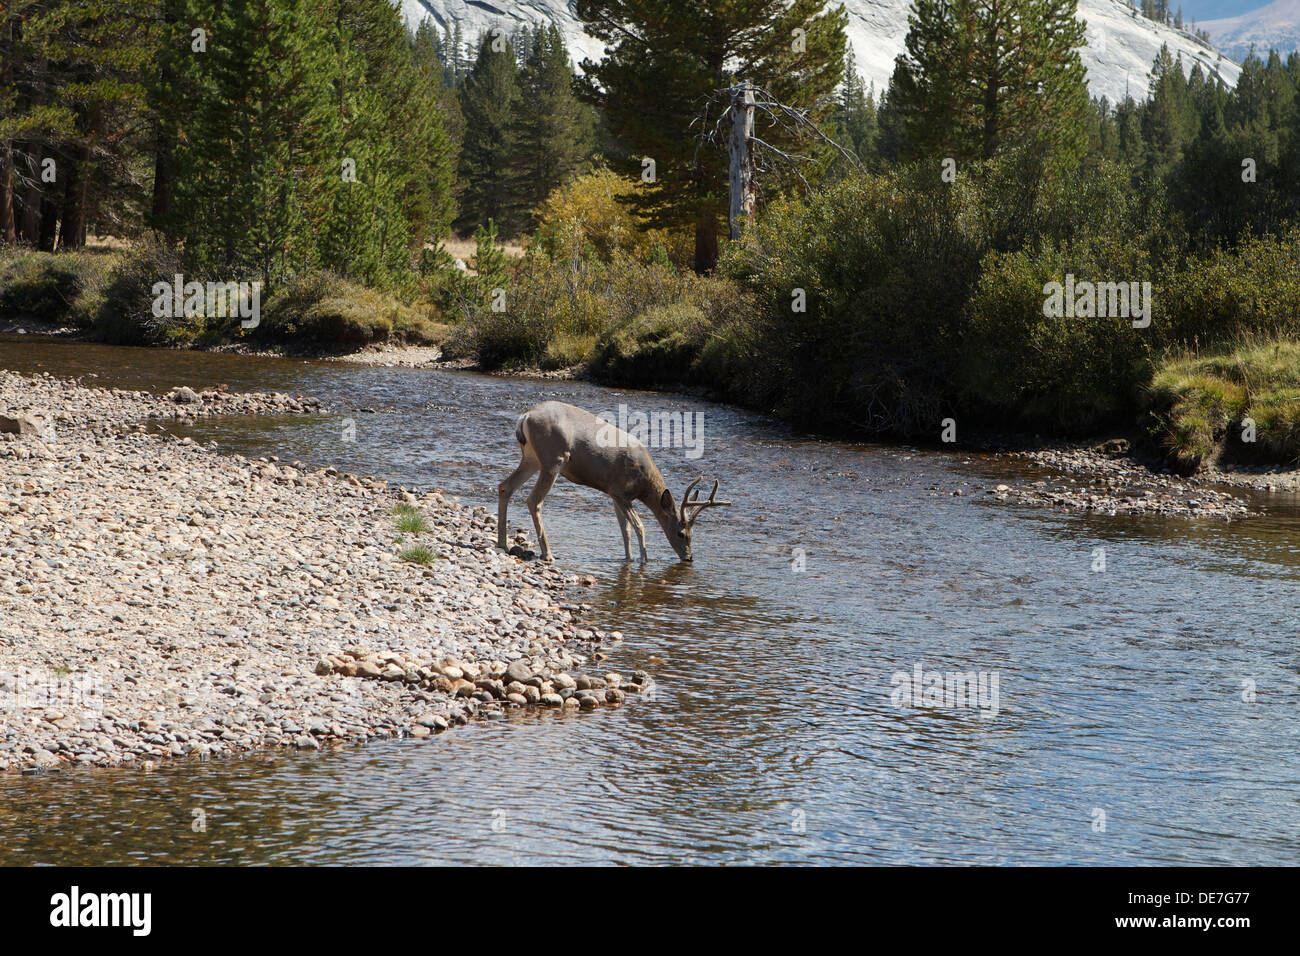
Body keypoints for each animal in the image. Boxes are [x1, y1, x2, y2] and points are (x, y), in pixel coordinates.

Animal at [497, 401, 731, 563]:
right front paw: (644, 559)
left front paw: (628, 558)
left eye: (693, 533)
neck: (644, 483)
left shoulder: (614, 495)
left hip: (532, 458)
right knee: (533, 500)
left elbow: (624, 530)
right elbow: (639, 526)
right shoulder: (619, 490)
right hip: (553, 458)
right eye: (681, 533)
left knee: (505, 486)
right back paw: (548, 554)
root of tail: (525, 416)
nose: (689, 558)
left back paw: (502, 543)